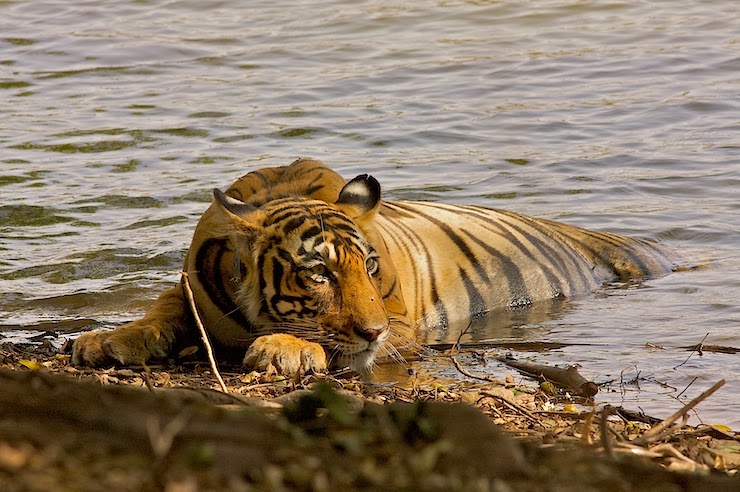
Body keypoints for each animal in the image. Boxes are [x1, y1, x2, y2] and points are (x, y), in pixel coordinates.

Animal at [71, 158, 677, 377]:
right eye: (318, 273)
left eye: (369, 267)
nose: (374, 332)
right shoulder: (191, 292)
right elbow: (159, 311)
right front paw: (105, 341)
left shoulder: (403, 322)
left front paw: (284, 349)